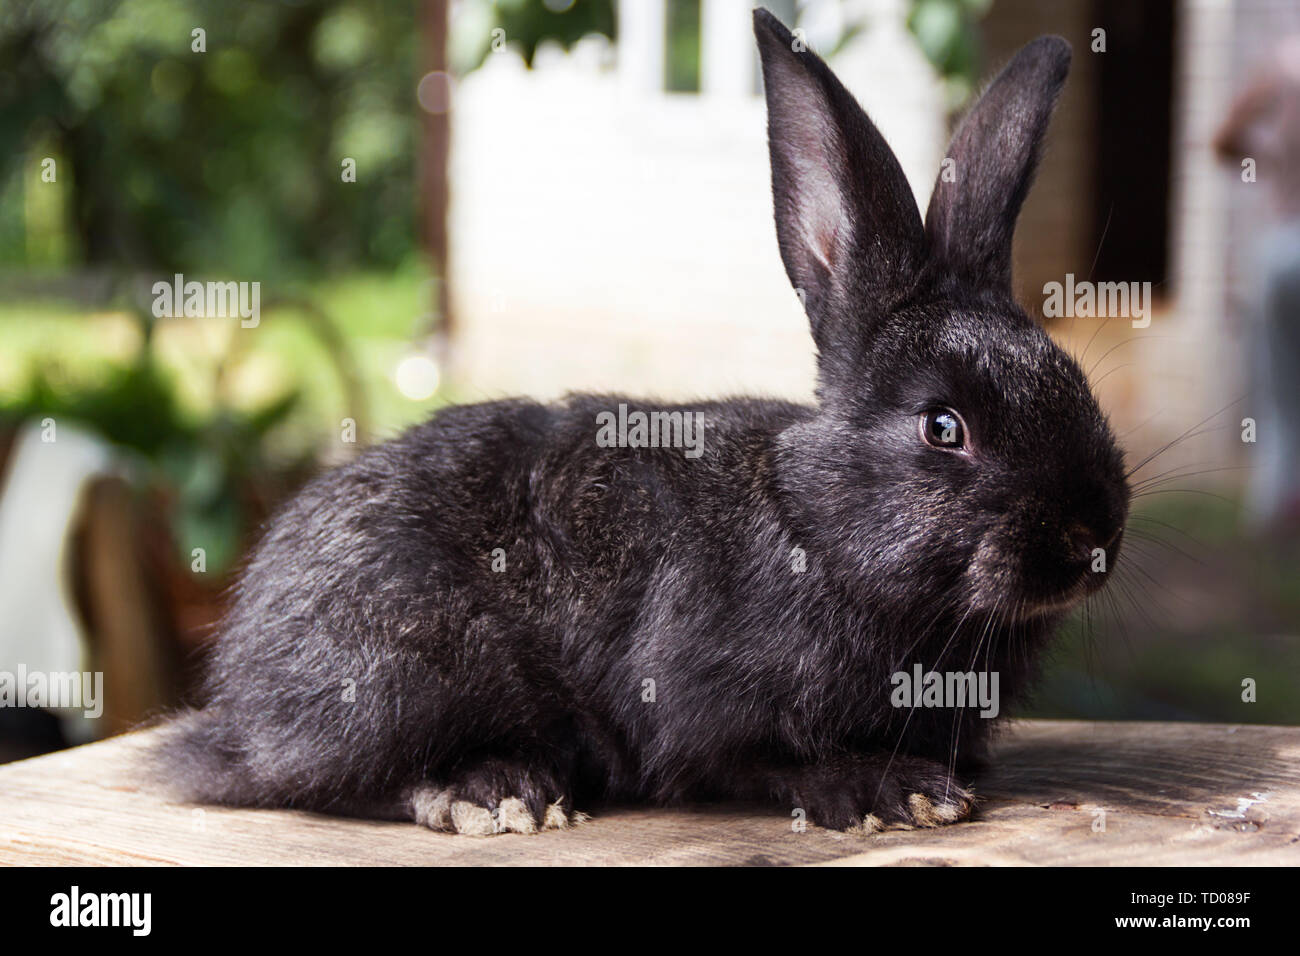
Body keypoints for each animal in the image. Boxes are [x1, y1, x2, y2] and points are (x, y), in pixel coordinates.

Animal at [153, 8, 1129, 835]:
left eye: (1075, 381)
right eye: (942, 427)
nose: (1090, 539)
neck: (815, 527)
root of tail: (241, 684)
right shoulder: (699, 709)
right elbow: (759, 760)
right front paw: (895, 790)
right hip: (408, 669)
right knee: (323, 776)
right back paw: (496, 794)